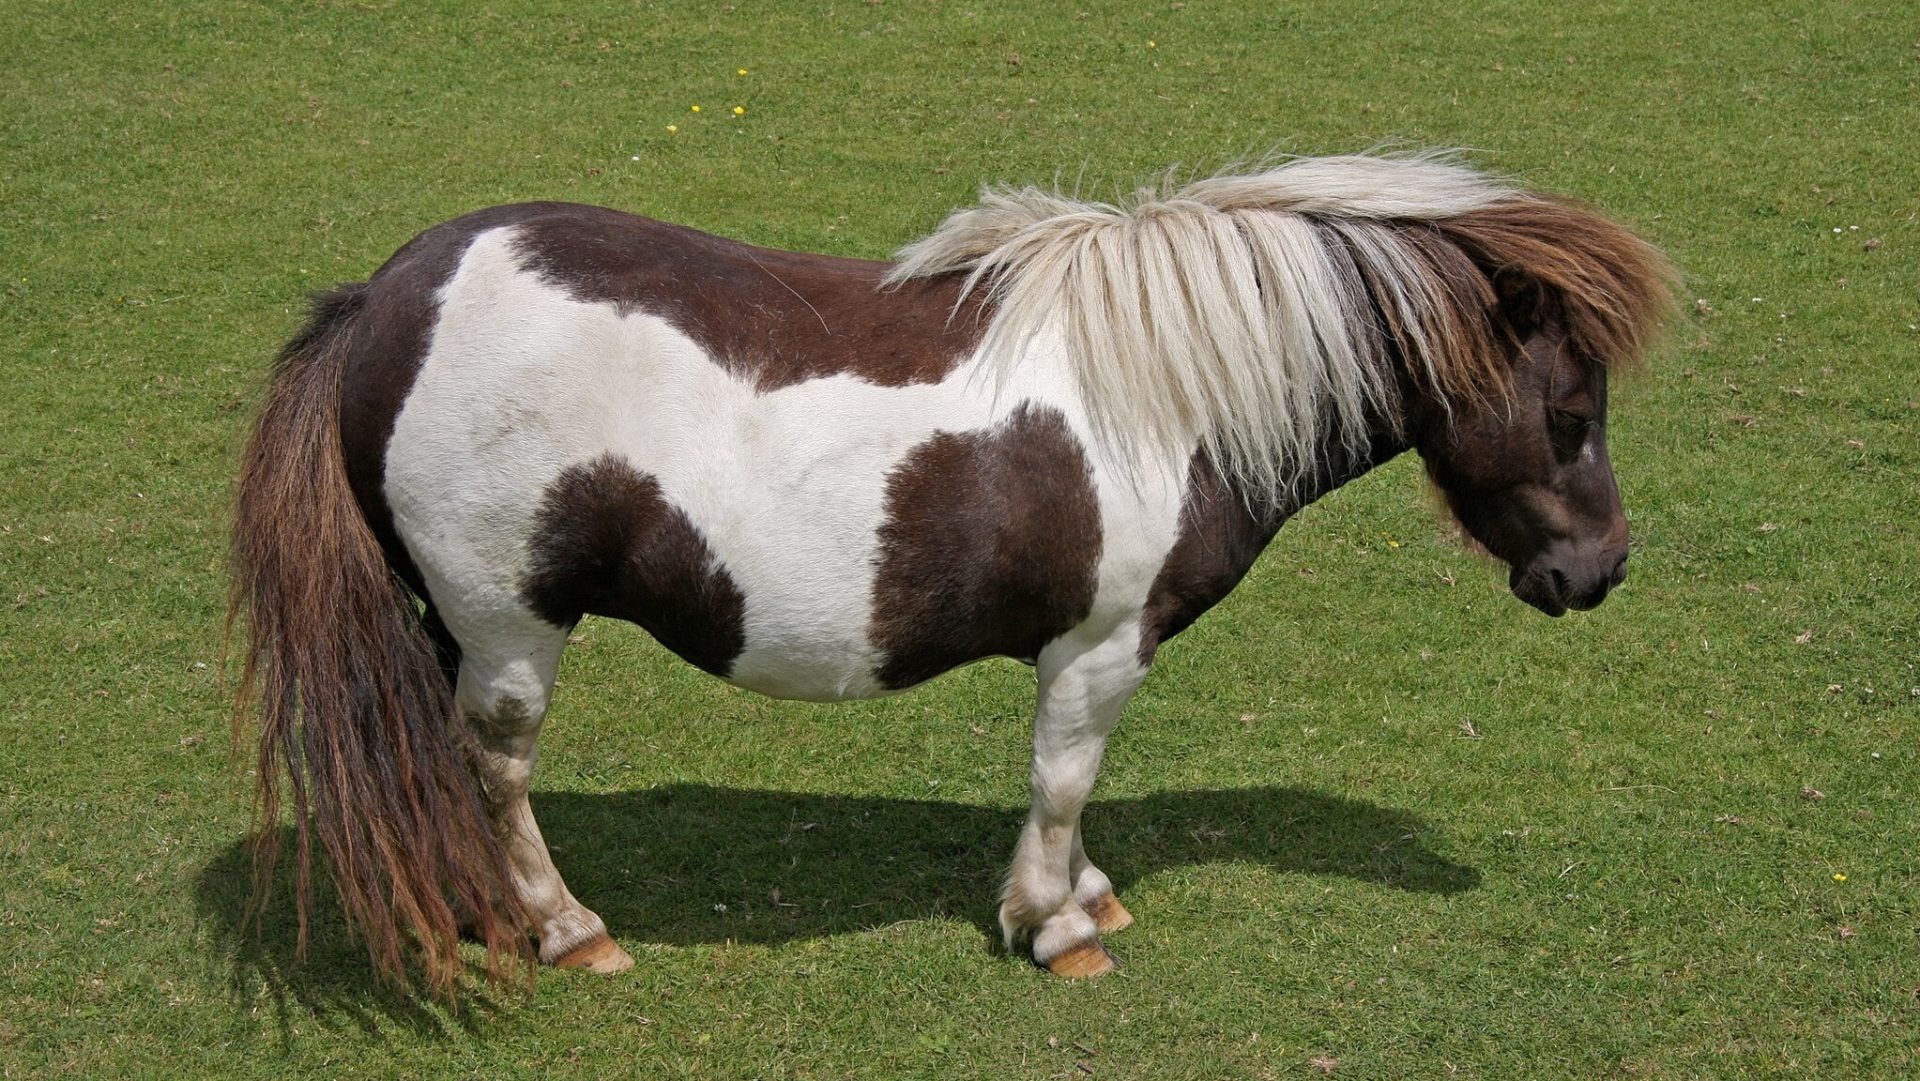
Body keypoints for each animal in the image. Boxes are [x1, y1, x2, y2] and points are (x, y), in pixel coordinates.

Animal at [230, 152, 1674, 994]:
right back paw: (560, 924)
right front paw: (1056, 925)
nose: (1595, 571)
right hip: (509, 629)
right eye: (1570, 415)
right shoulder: (1099, 645)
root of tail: (385, 300)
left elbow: (1070, 793)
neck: (1169, 395)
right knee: (496, 771)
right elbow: (1061, 781)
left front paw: (1085, 897)